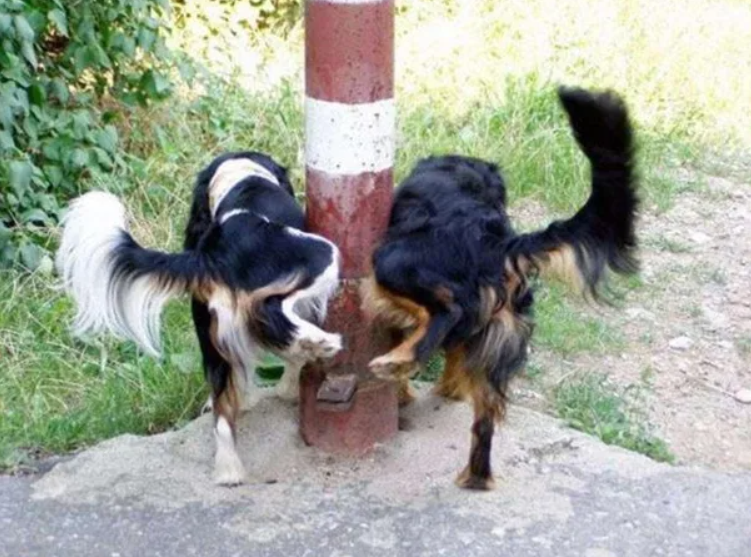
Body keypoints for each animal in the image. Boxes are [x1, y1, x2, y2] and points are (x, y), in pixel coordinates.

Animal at [56, 151, 344, 482]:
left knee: (222, 415)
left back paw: (229, 472)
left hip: (211, 339)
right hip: (322, 255)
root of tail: (214, 256)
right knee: (272, 314)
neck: (239, 178)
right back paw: (317, 343)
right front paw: (289, 387)